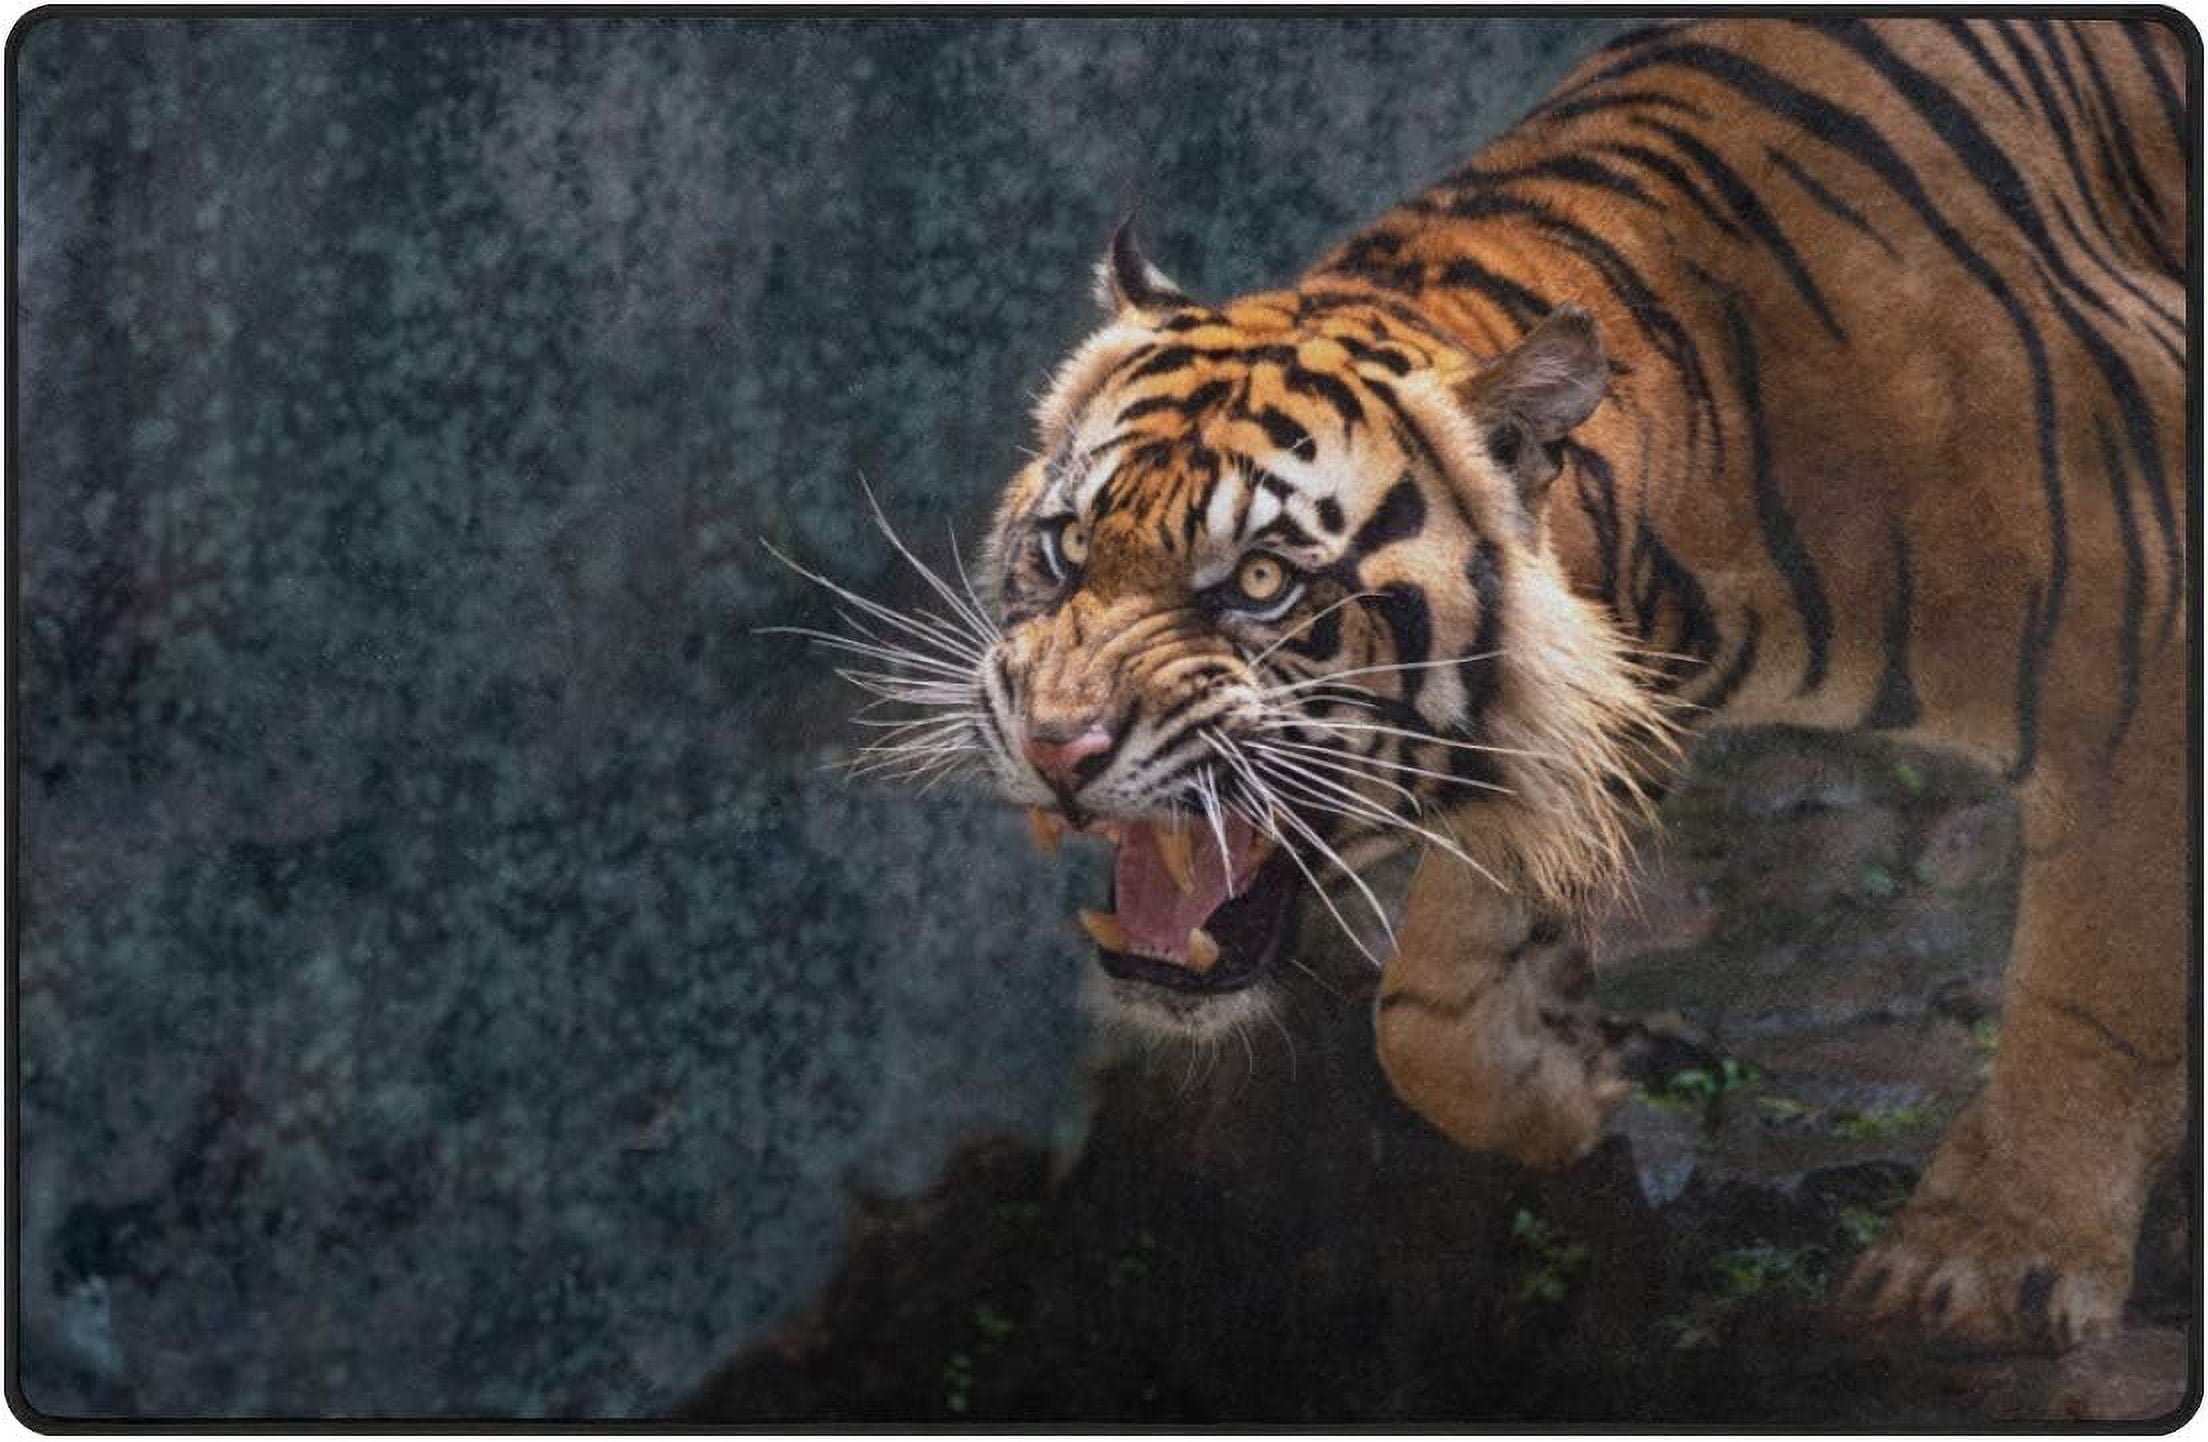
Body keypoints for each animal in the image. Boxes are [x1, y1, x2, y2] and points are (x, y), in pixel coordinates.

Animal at [793, 17, 2190, 1353]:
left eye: (1259, 581)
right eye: (1067, 547)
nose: (1057, 746)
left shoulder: (2140, 664)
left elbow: (2091, 989)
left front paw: (1990, 1265)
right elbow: (1427, 1008)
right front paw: (1569, 1083)